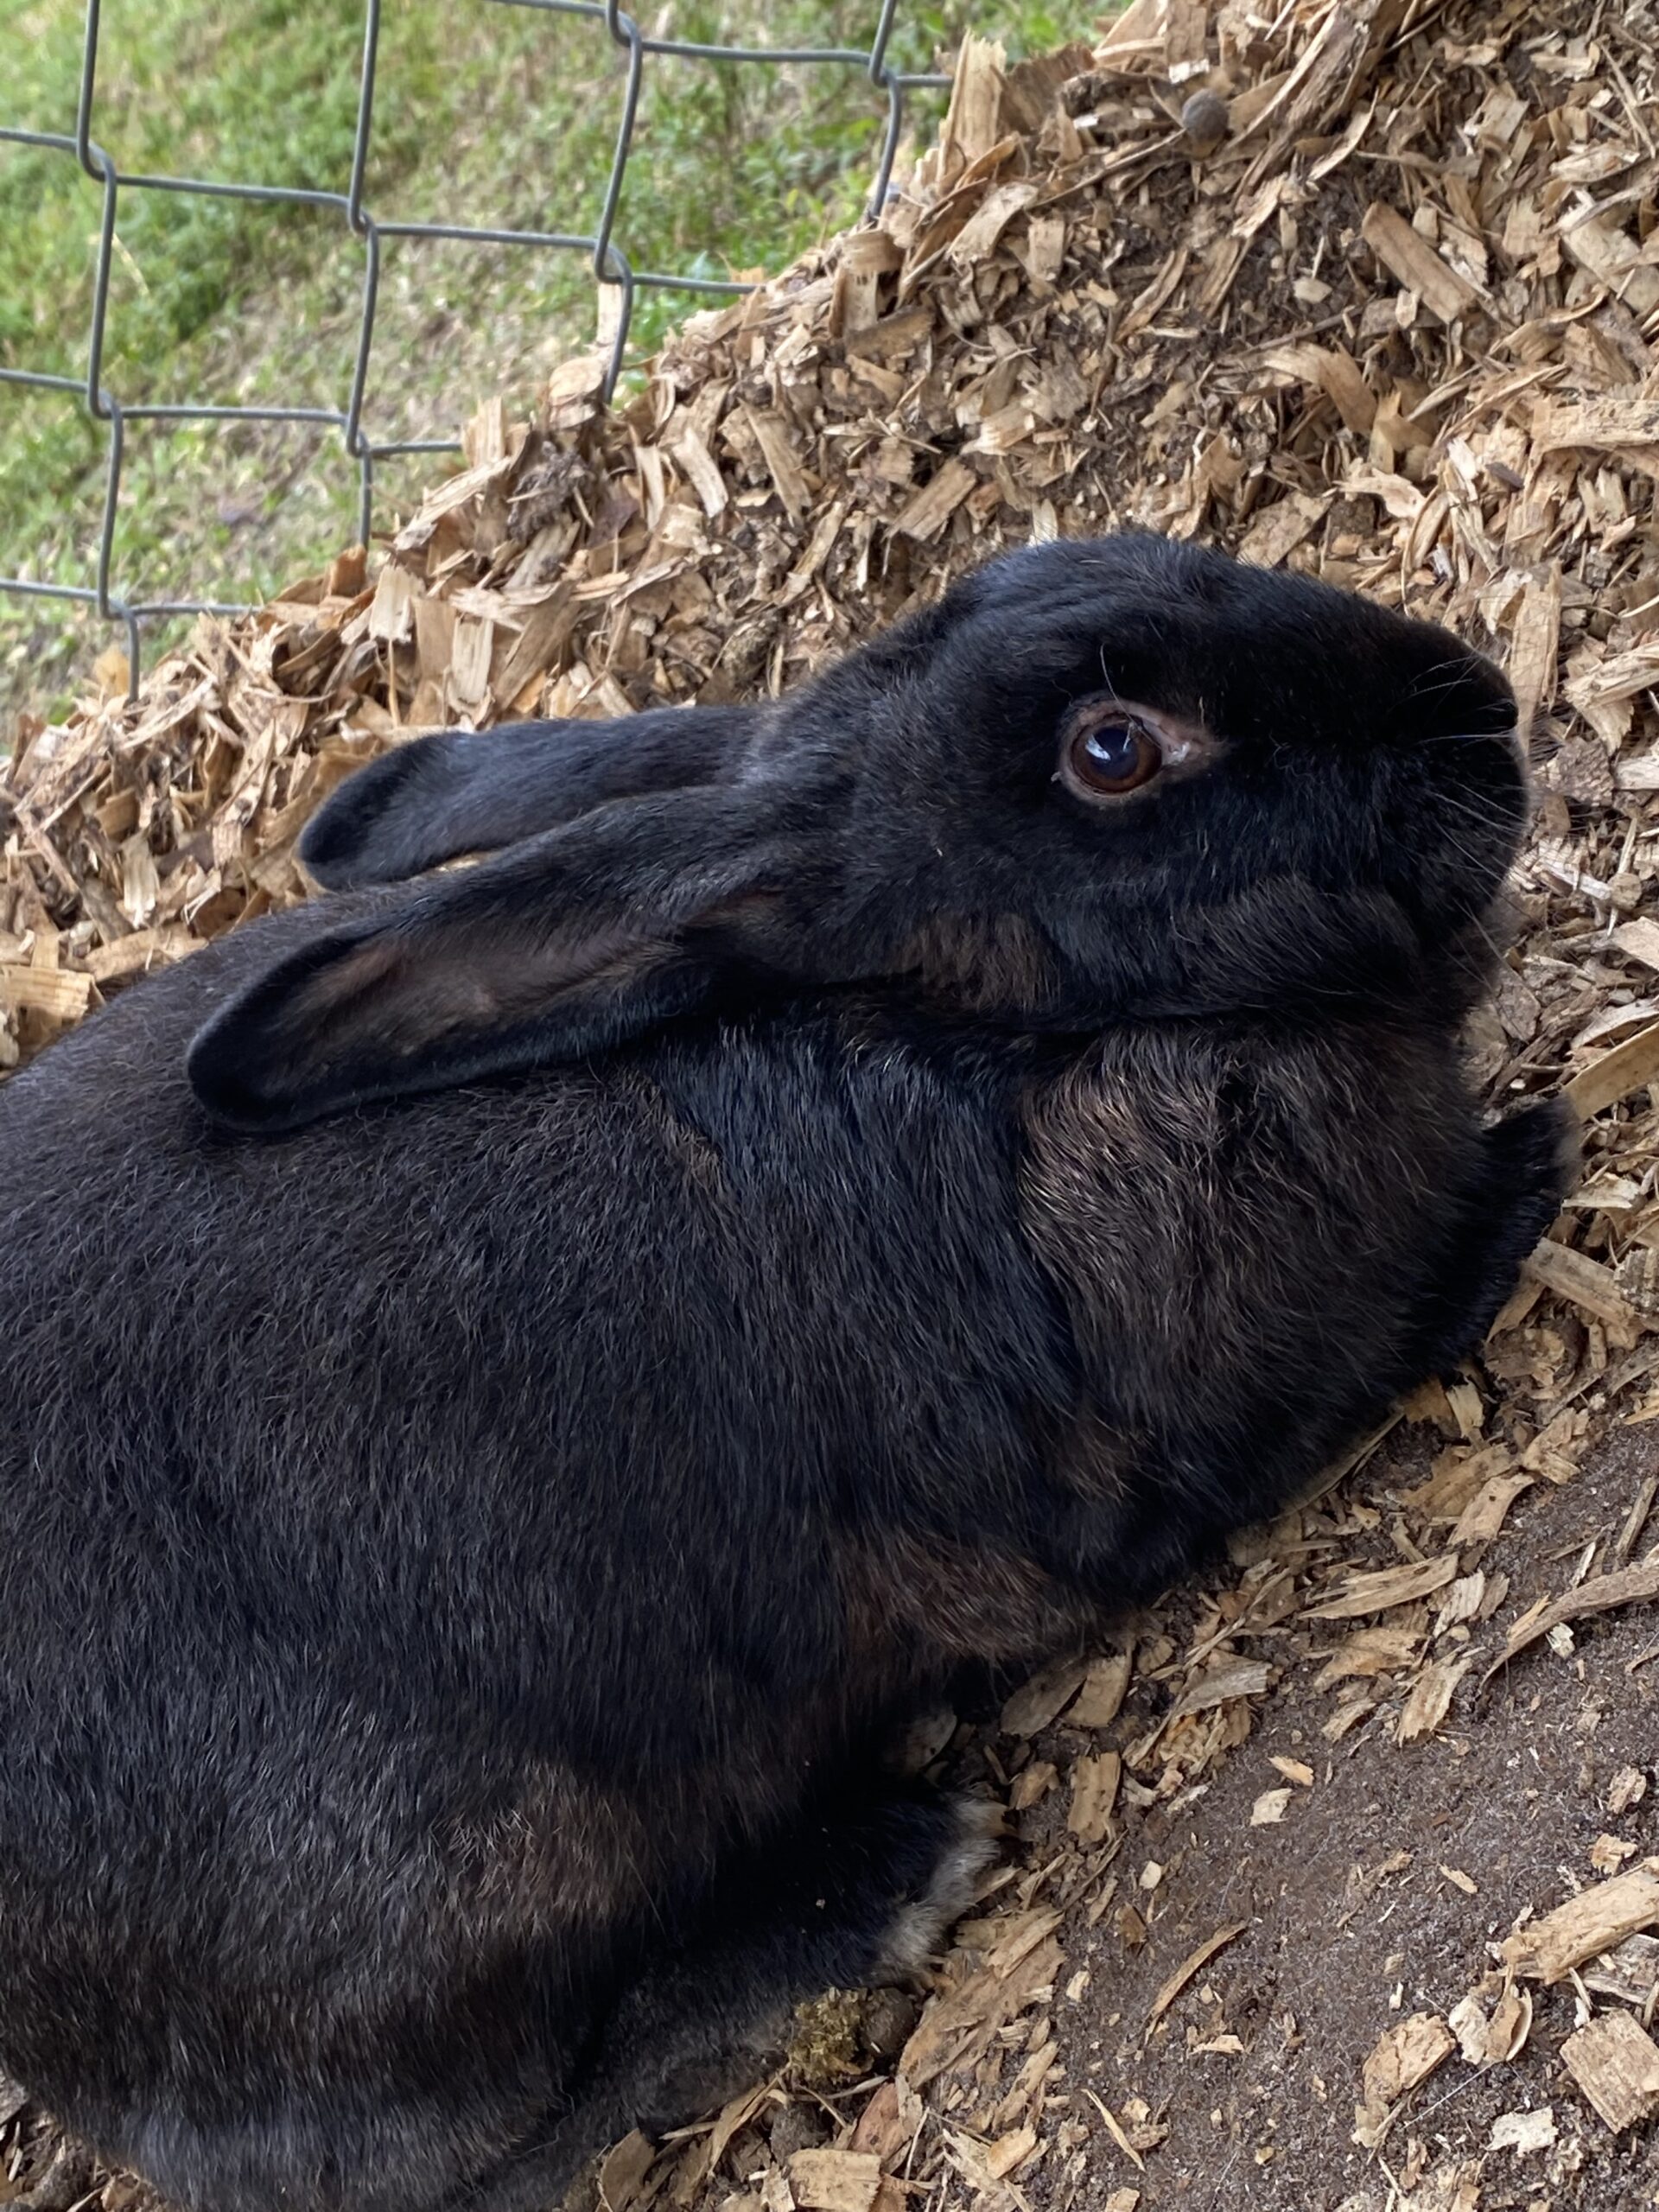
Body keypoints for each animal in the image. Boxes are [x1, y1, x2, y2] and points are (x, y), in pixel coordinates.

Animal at [0, 533, 1570, 2212]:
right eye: (1112, 753)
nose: (1478, 707)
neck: (952, 1028)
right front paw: (1529, 1172)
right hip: (466, 1882)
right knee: (484, 2151)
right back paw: (877, 1882)